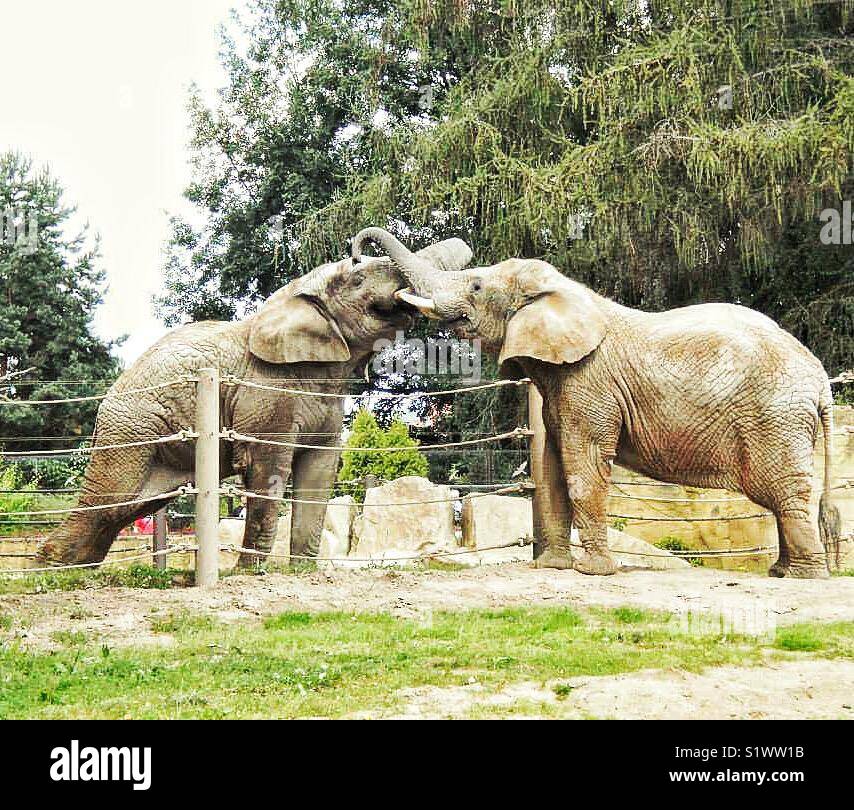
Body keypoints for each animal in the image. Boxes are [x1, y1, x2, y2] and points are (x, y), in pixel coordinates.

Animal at [36, 237, 472, 567]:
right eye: (358, 276)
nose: (355, 245)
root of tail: (107, 400)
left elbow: (319, 472)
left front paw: (304, 571)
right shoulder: (265, 393)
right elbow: (267, 469)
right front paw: (247, 573)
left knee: (125, 508)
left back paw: (70, 567)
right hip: (132, 430)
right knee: (110, 501)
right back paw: (52, 570)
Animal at [352, 227, 840, 579]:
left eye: (476, 286)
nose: (357, 253)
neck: (565, 291)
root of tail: (821, 382)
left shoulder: (589, 382)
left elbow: (582, 466)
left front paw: (593, 572)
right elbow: (552, 468)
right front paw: (551, 567)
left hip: (775, 418)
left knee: (785, 491)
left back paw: (803, 577)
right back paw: (781, 572)